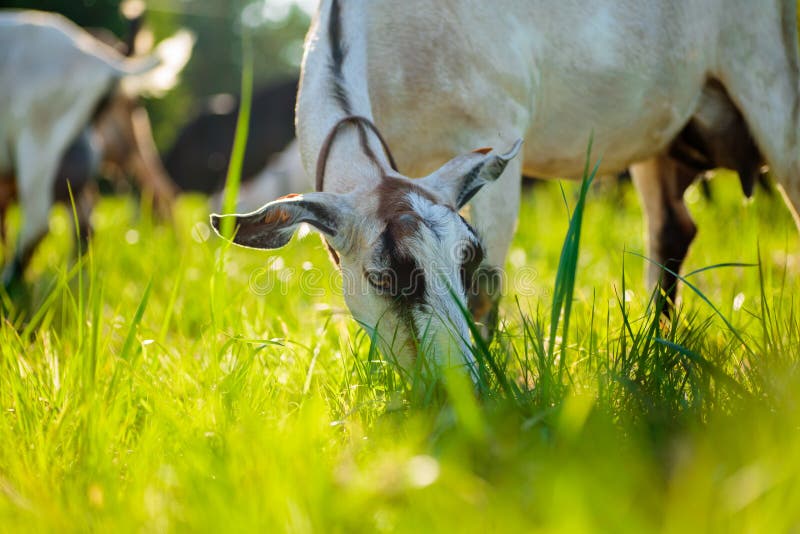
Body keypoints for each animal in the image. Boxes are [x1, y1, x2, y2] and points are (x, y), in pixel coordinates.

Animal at [213, 0, 800, 374]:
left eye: (465, 258)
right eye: (381, 276)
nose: (457, 383)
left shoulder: (491, 125)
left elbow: (488, 289)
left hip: (768, 75)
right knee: (671, 231)